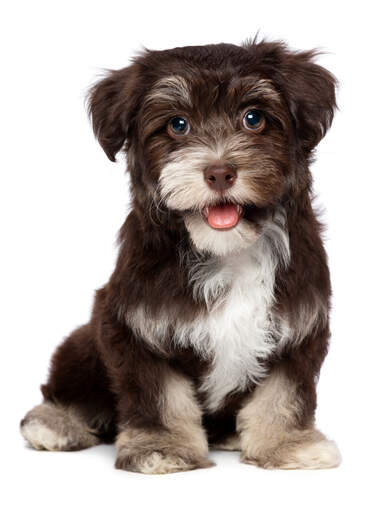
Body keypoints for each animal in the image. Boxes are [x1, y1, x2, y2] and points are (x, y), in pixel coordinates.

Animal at [20, 40, 342, 476]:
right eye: (178, 125)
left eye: (253, 118)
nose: (220, 172)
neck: (227, 250)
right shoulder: (136, 328)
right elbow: (158, 396)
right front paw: (162, 446)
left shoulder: (300, 327)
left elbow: (285, 391)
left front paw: (287, 444)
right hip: (84, 340)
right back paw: (55, 422)